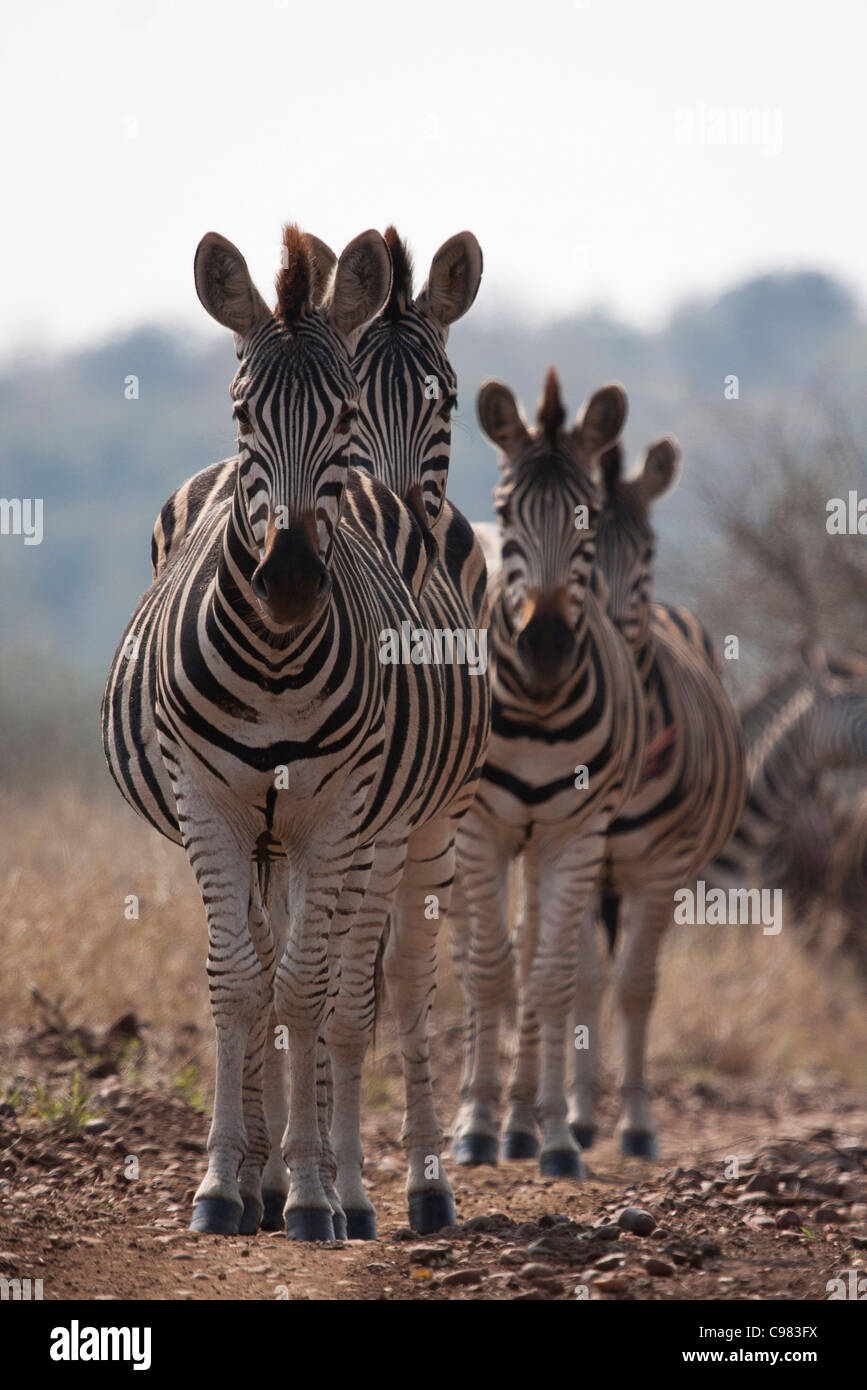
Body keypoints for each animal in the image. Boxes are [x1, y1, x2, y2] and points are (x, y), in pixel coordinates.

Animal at [102, 225, 485, 1241]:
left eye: (343, 407)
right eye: (242, 410)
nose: (289, 578)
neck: (276, 654)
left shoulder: (345, 817)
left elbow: (320, 993)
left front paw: (320, 1195)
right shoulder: (211, 804)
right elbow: (241, 984)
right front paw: (224, 1186)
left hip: (421, 831)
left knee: (394, 984)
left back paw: (406, 1188)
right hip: (267, 839)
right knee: (272, 968)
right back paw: (264, 1181)